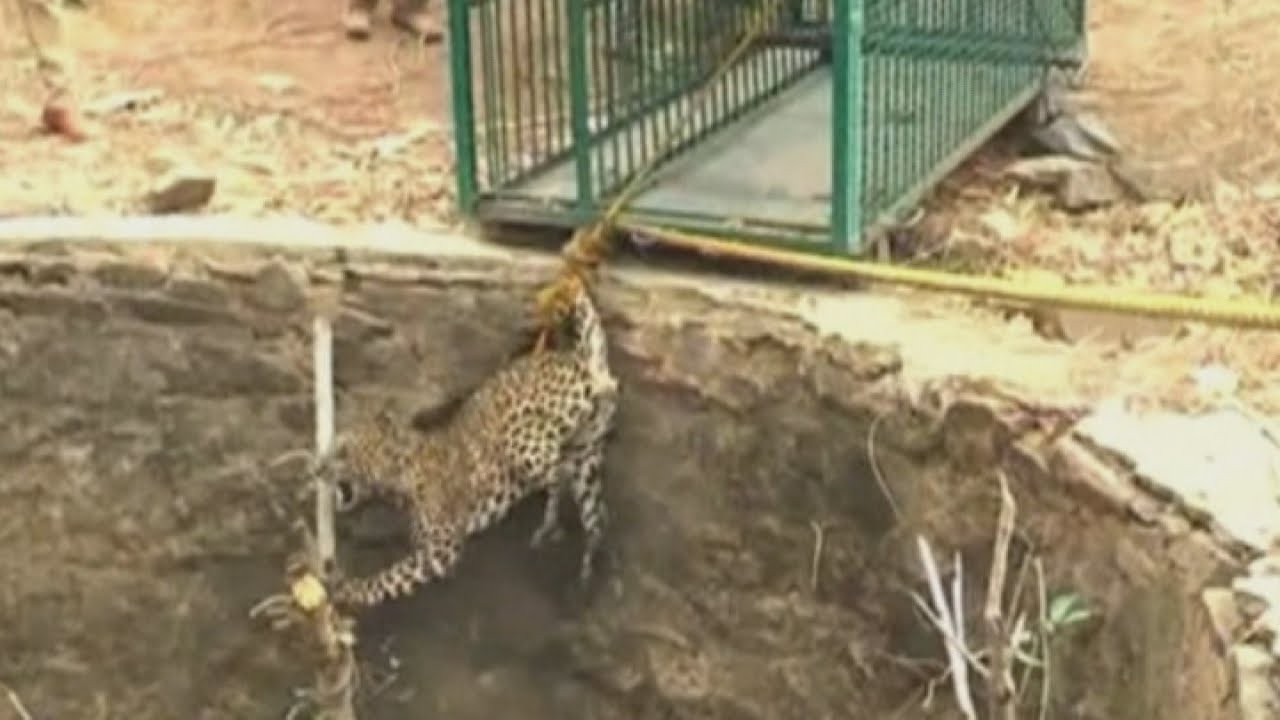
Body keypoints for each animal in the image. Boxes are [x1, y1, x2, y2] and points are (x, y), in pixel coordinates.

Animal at [320, 281, 618, 610]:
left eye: (343, 451)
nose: (317, 468)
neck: (399, 475)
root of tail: (578, 360)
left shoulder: (441, 548)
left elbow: (384, 580)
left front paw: (346, 589)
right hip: (587, 462)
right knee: (597, 516)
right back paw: (584, 577)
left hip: (523, 437)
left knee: (560, 474)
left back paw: (551, 528)